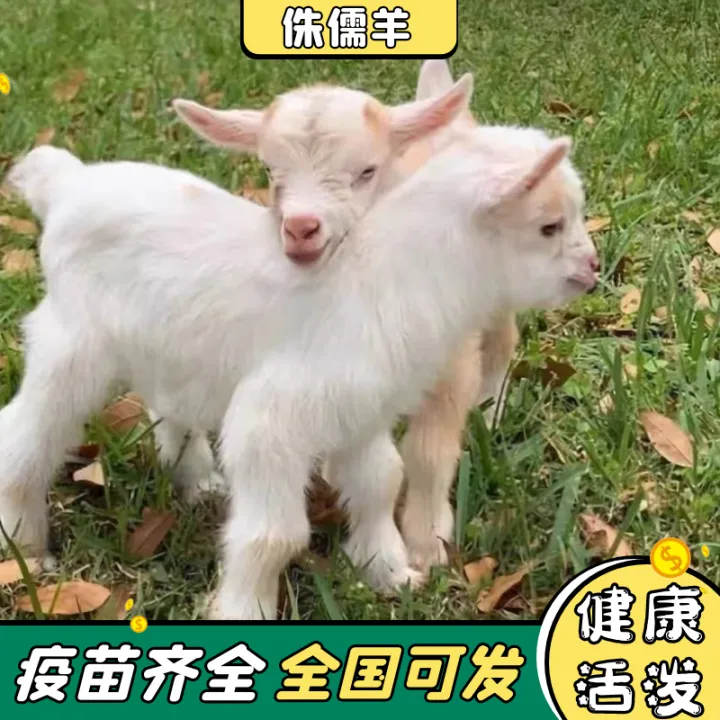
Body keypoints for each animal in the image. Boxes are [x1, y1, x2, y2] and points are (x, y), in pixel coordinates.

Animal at [1, 104, 598, 618]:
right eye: (549, 226)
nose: (592, 268)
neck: (380, 275)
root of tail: (67, 182)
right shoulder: (271, 420)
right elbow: (274, 533)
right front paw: (245, 611)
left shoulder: (362, 414)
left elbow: (383, 481)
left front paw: (390, 574)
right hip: (71, 345)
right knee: (23, 434)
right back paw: (27, 551)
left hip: (164, 344)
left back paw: (198, 482)